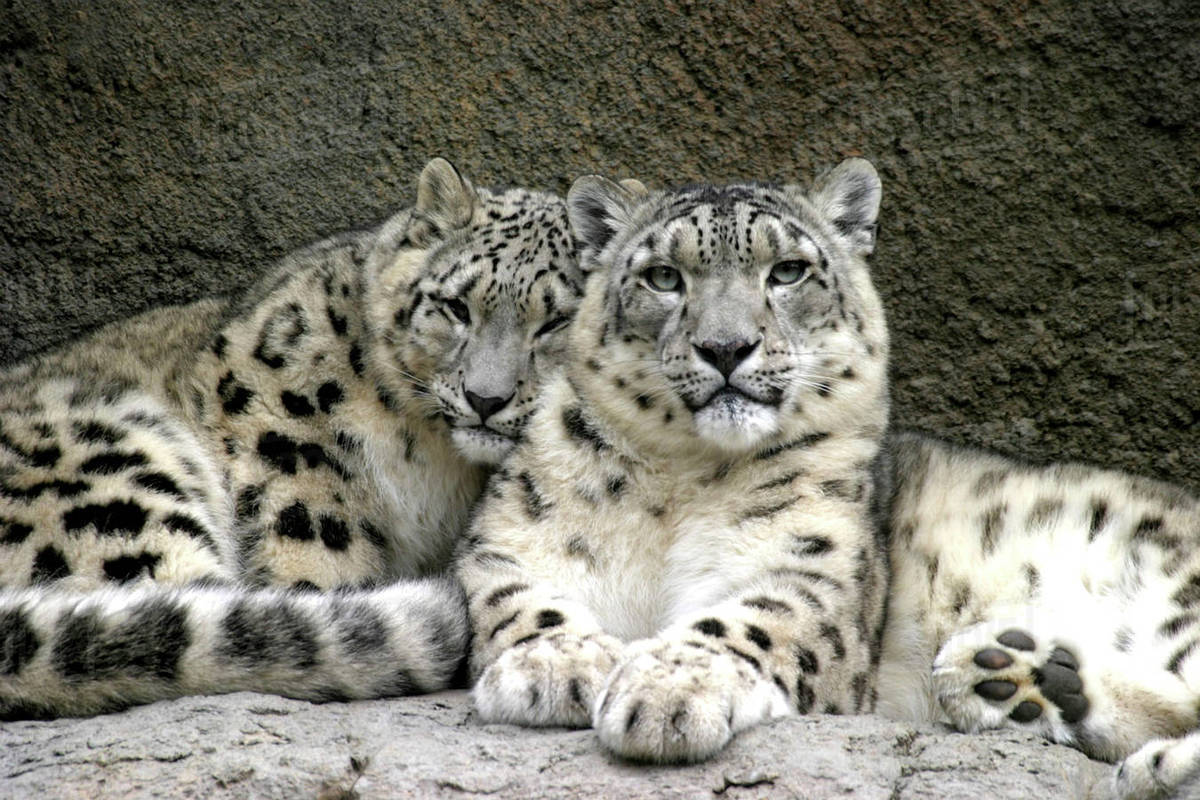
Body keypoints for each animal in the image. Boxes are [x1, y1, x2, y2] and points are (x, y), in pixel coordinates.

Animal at [0, 157, 585, 718]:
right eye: (457, 307)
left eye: (556, 321)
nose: (486, 398)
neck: (440, 463)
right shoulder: (289, 438)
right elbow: (312, 543)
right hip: (110, 479)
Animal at [456, 158, 893, 763]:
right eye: (663, 277)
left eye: (788, 271)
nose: (726, 347)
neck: (683, 476)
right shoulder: (510, 539)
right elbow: (515, 598)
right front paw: (557, 663)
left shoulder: (818, 562)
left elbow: (762, 619)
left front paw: (671, 688)